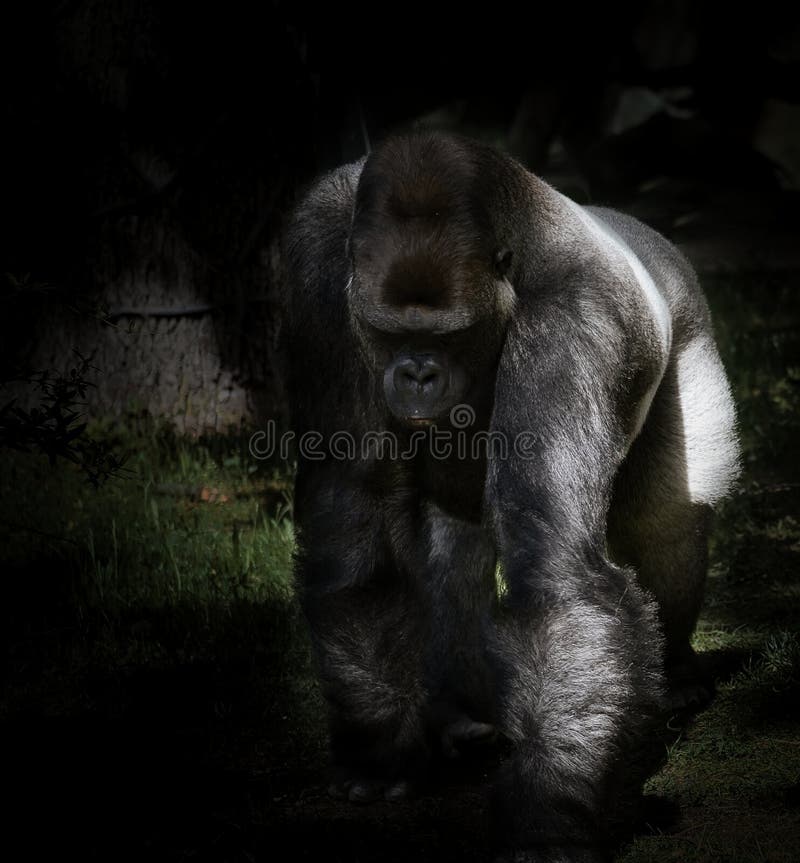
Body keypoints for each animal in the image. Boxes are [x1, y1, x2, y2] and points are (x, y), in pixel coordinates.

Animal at [283, 131, 739, 861]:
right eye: (390, 331)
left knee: (665, 520)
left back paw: (676, 671)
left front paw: (548, 812)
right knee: (450, 548)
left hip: (689, 311)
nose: (417, 374)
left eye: (445, 335)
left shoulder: (574, 319)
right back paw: (459, 716)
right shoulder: (318, 270)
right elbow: (355, 505)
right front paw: (378, 747)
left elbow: (554, 567)